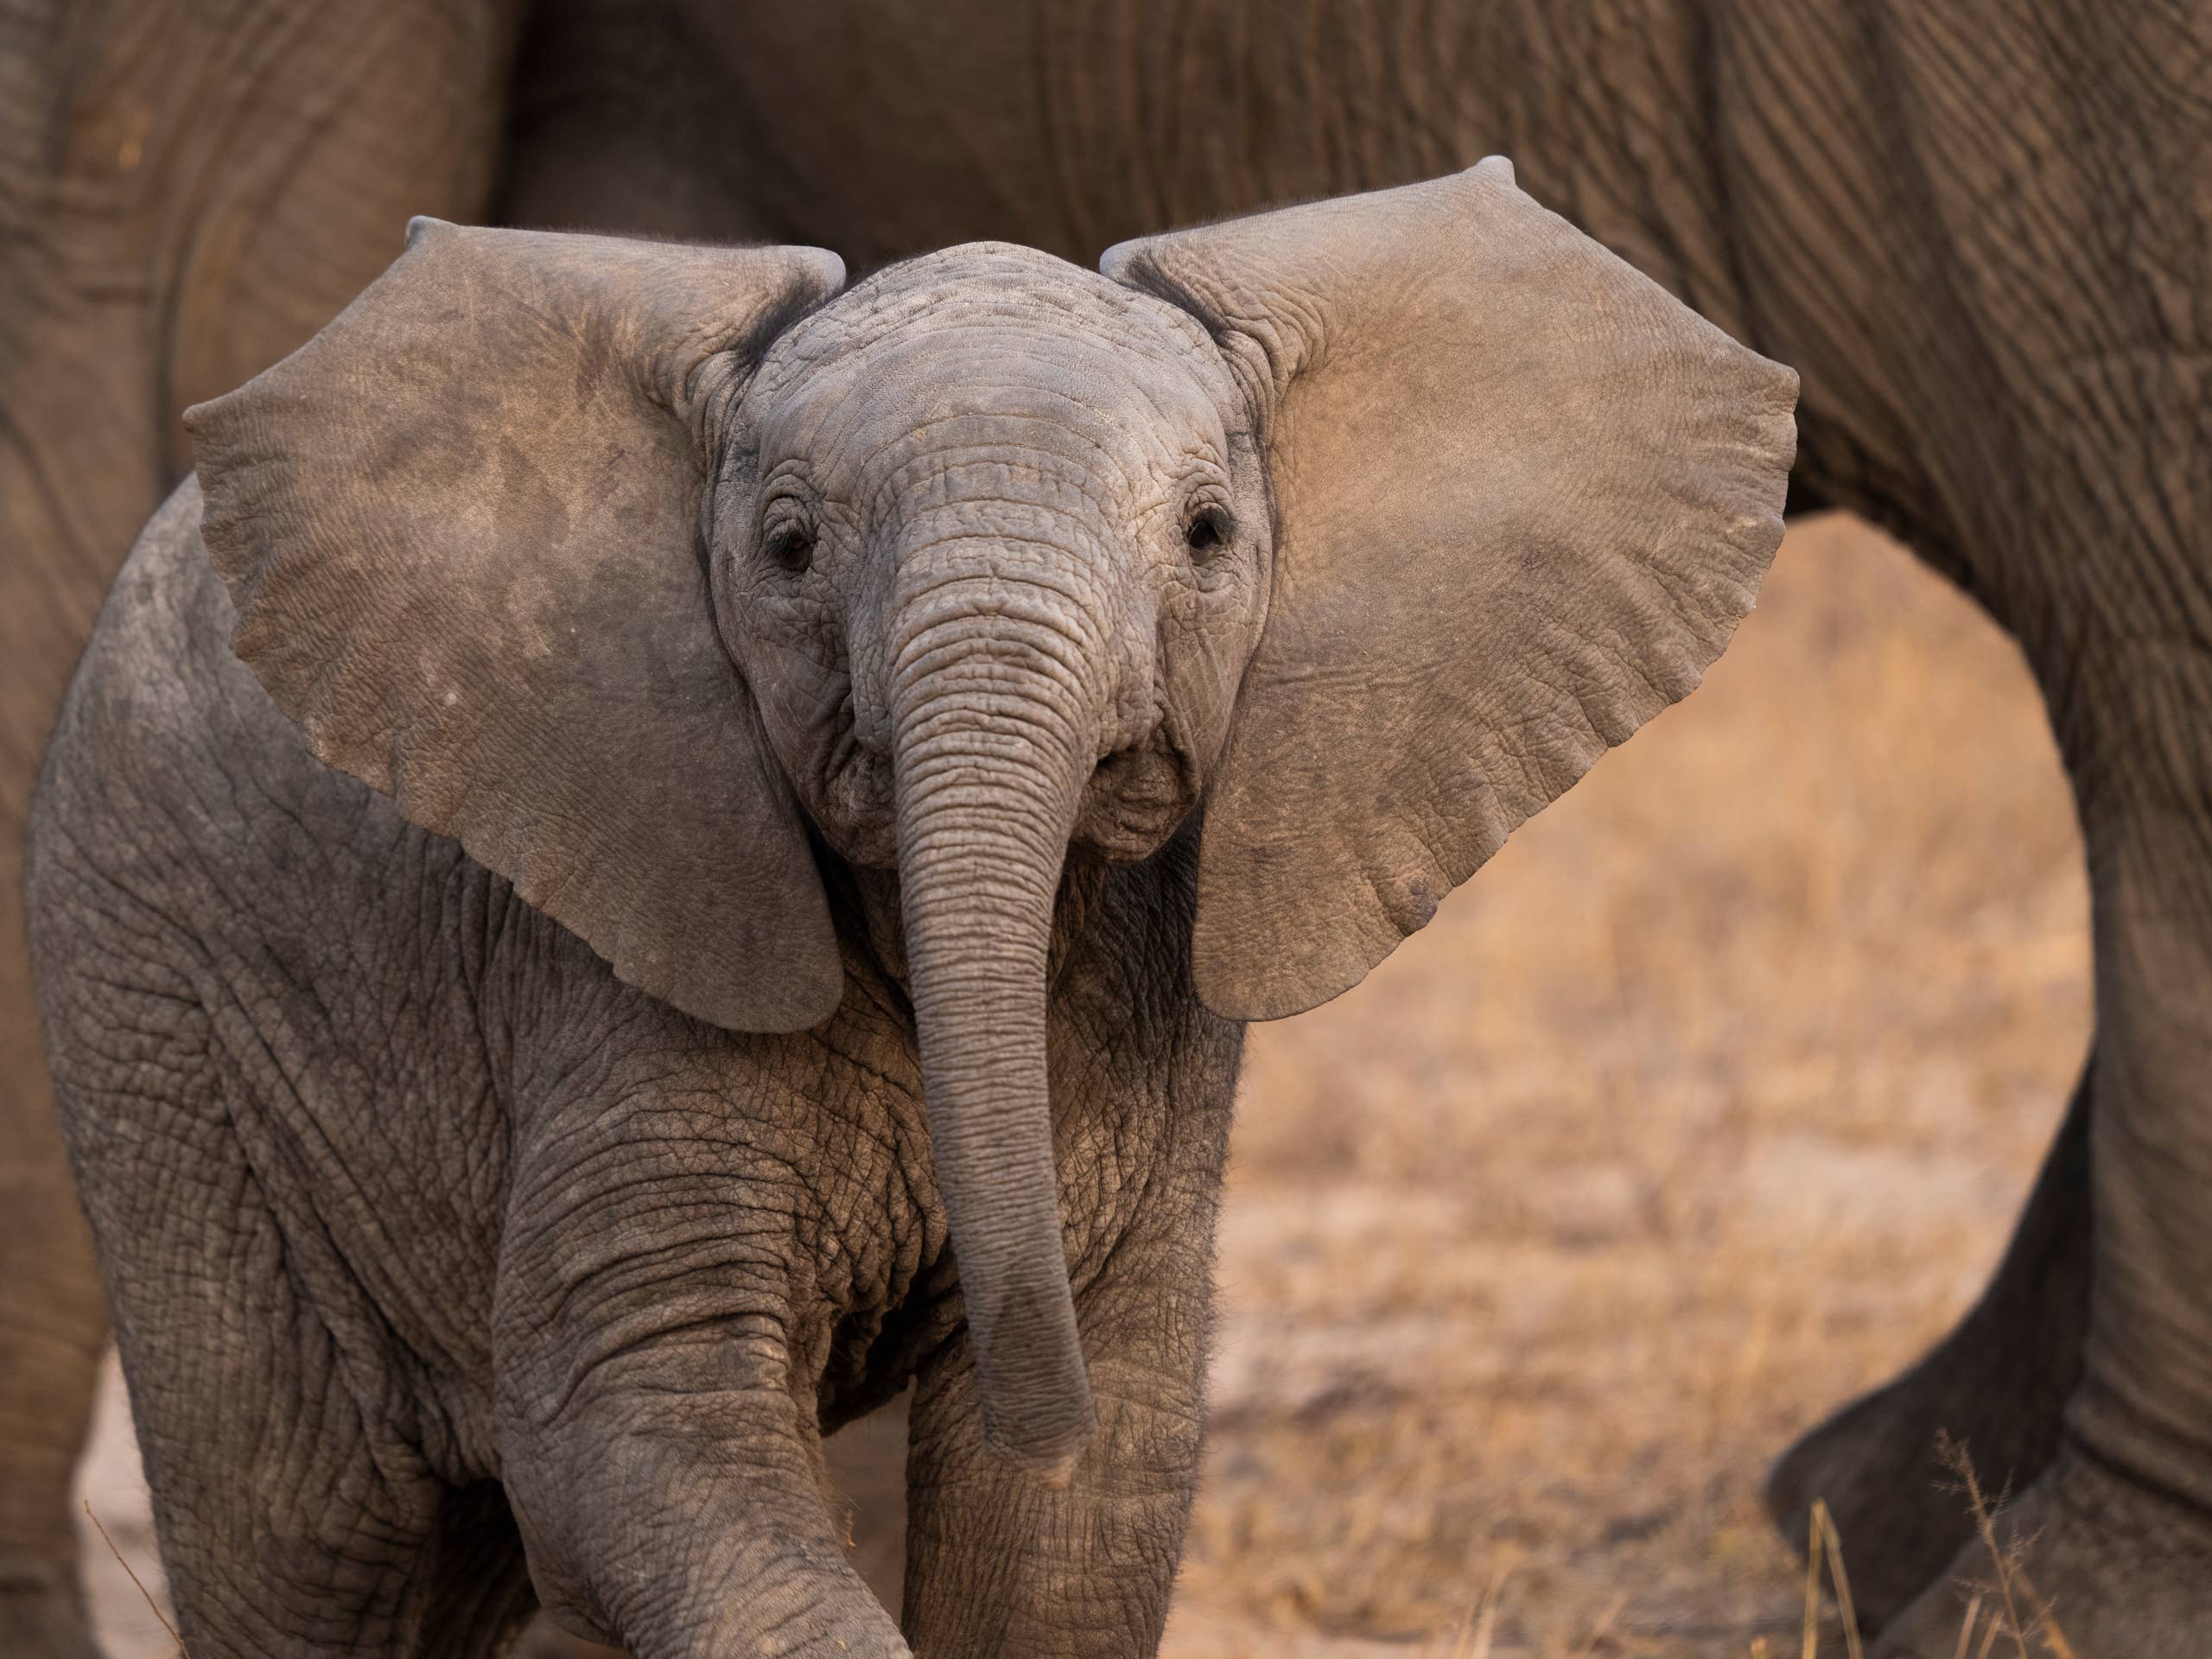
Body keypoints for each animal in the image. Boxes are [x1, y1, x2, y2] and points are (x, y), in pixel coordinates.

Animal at [5, 1, 2208, 1654]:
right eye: (784, 550)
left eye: (1213, 536)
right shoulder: (607, 955)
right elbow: (634, 1434)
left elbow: (1087, 1496)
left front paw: (1040, 1428)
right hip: (164, 1031)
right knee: (312, 1540)